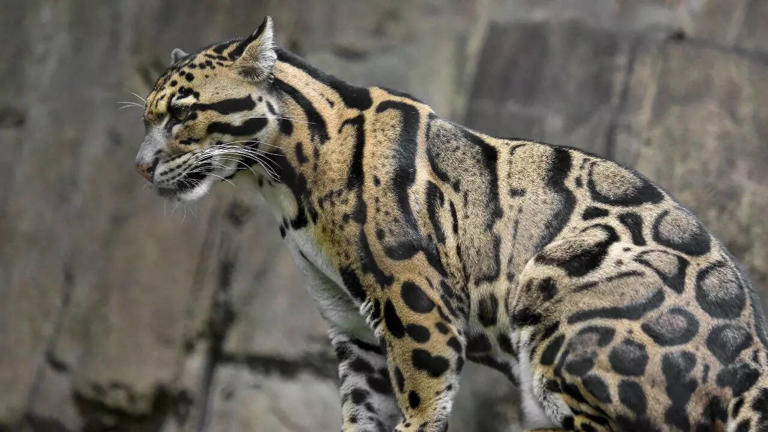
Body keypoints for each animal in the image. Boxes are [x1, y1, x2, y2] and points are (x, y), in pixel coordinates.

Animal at [134, 16, 768, 432]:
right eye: (148, 118)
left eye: (183, 114)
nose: (140, 166)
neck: (280, 182)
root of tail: (753, 366)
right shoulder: (353, 328)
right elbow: (362, 411)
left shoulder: (416, 307)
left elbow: (422, 398)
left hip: (558, 306)